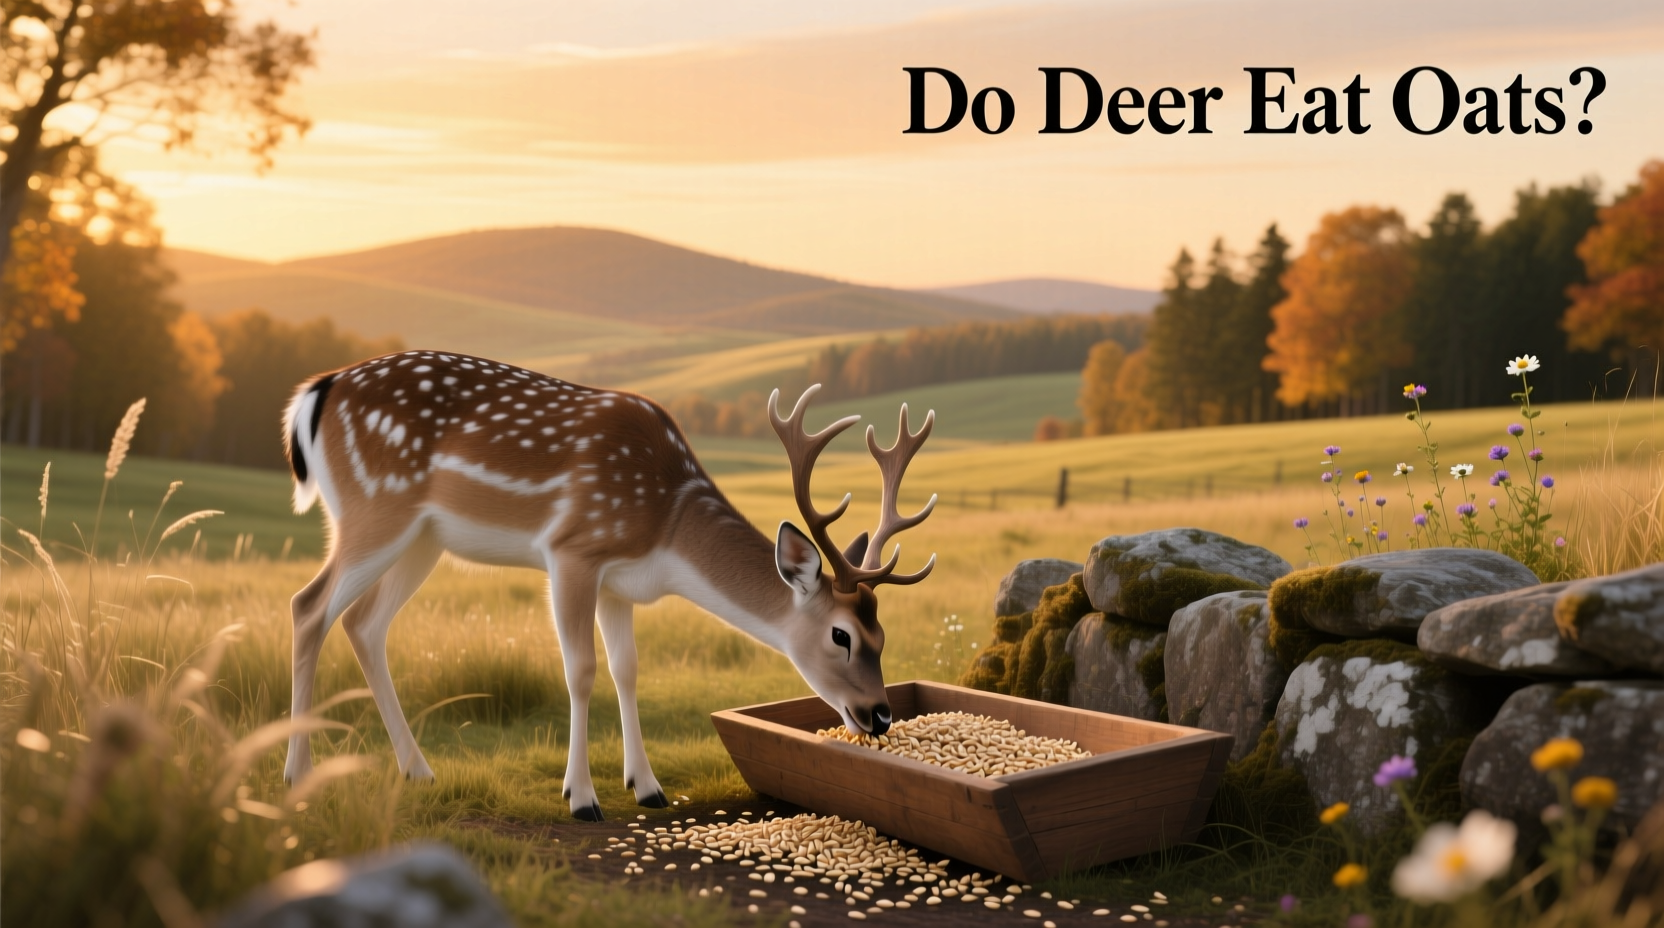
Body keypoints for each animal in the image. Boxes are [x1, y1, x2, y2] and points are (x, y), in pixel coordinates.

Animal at [280, 350, 937, 820]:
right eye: (841, 635)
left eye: (883, 634)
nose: (880, 715)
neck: (666, 527)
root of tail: (317, 393)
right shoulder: (573, 549)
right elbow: (581, 669)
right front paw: (582, 798)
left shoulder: (621, 583)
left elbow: (627, 668)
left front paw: (647, 787)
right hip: (375, 508)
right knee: (308, 605)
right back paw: (297, 774)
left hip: (423, 538)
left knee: (363, 623)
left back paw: (417, 770)